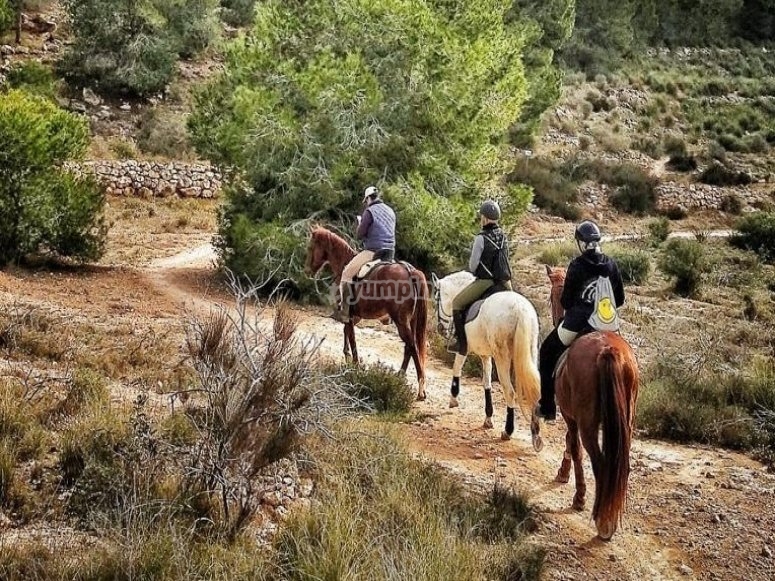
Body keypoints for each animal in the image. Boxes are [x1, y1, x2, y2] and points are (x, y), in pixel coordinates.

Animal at [305, 226, 428, 400]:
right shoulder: (355, 317)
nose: (307, 270)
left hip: (401, 322)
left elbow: (352, 338)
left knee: (412, 346)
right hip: (410, 321)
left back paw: (420, 389)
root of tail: (411, 271)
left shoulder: (349, 315)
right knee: (409, 348)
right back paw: (399, 377)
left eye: (311, 247)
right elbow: (346, 331)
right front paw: (347, 357)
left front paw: (354, 367)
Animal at [432, 271, 543, 451]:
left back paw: (508, 431)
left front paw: (453, 399)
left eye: (436, 298)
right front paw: (488, 418)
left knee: (509, 392)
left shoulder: (464, 348)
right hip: (531, 353)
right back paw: (536, 436)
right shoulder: (485, 355)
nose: (441, 329)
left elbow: (457, 368)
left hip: (502, 357)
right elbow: (487, 383)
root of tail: (521, 310)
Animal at [545, 265, 639, 540]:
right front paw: (563, 474)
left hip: (587, 423)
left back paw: (602, 521)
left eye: (552, 297)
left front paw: (578, 494)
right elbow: (570, 443)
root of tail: (609, 351)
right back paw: (610, 516)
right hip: (625, 422)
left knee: (600, 462)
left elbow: (573, 445)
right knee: (621, 464)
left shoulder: (570, 415)